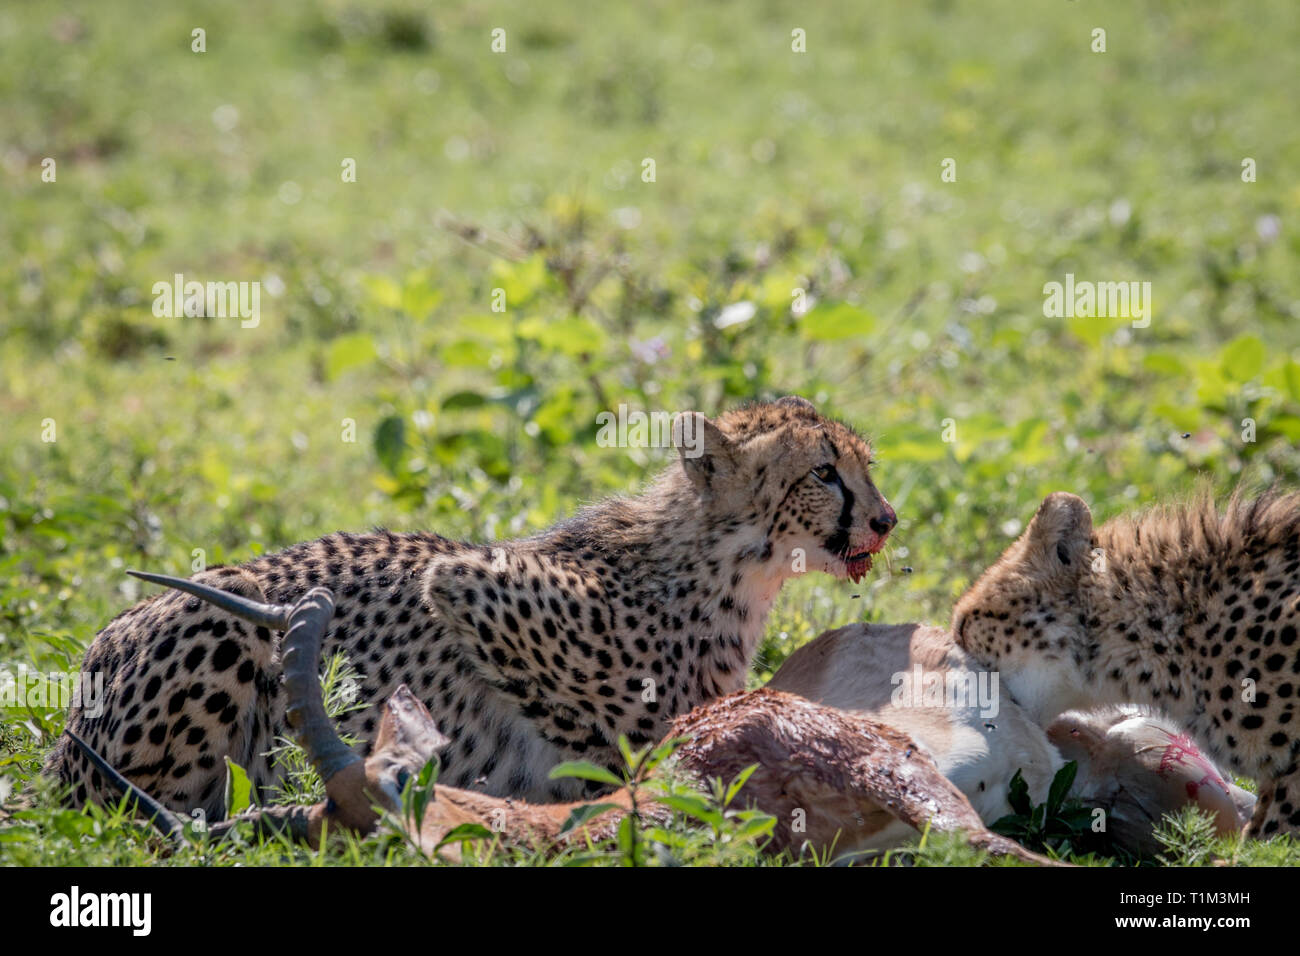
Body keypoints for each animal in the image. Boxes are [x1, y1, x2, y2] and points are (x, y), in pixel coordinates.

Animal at [44, 396, 896, 819]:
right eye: (824, 472)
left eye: (866, 465)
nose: (887, 519)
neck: (726, 565)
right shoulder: (464, 582)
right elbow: (597, 737)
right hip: (223, 619)